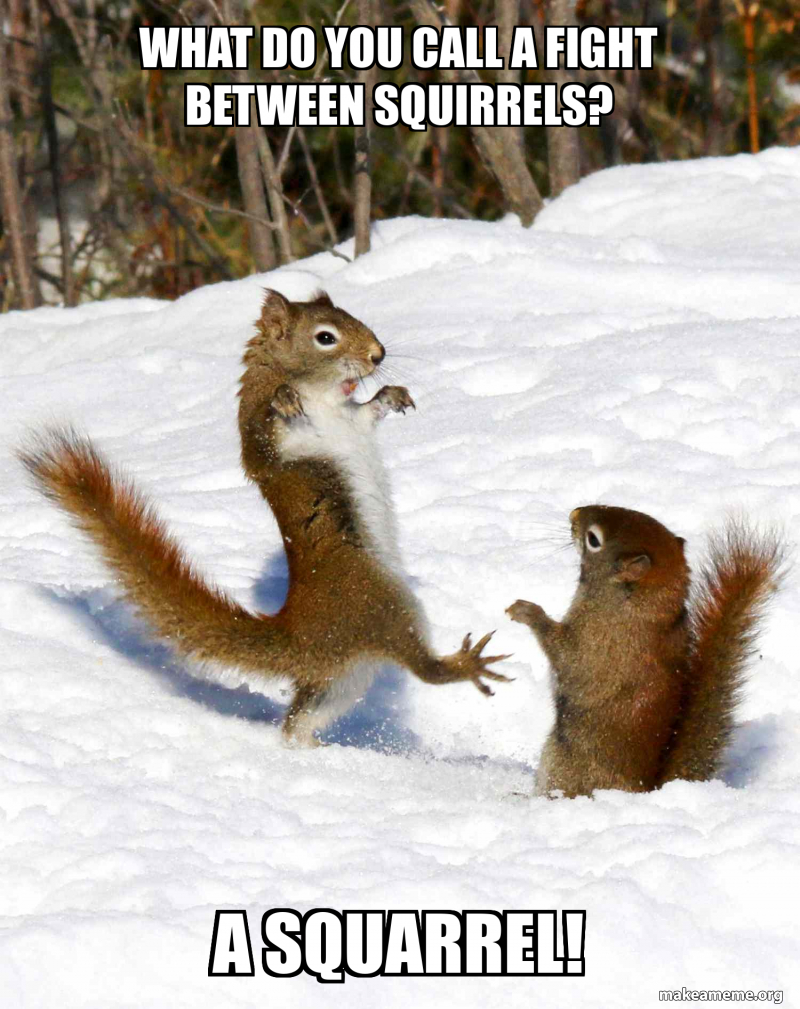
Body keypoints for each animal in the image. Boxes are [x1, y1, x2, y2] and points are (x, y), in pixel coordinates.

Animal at [19, 289, 510, 747]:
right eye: (325, 337)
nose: (378, 354)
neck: (325, 397)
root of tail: (299, 635)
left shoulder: (356, 419)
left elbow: (370, 409)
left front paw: (393, 394)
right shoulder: (263, 444)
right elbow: (264, 433)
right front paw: (284, 397)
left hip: (341, 680)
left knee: (298, 720)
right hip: (382, 603)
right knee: (421, 668)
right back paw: (466, 665)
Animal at [506, 505, 784, 797]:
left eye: (593, 540)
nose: (574, 514)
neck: (640, 603)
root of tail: (648, 788)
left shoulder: (599, 643)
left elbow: (567, 658)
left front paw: (528, 612)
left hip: (561, 764)